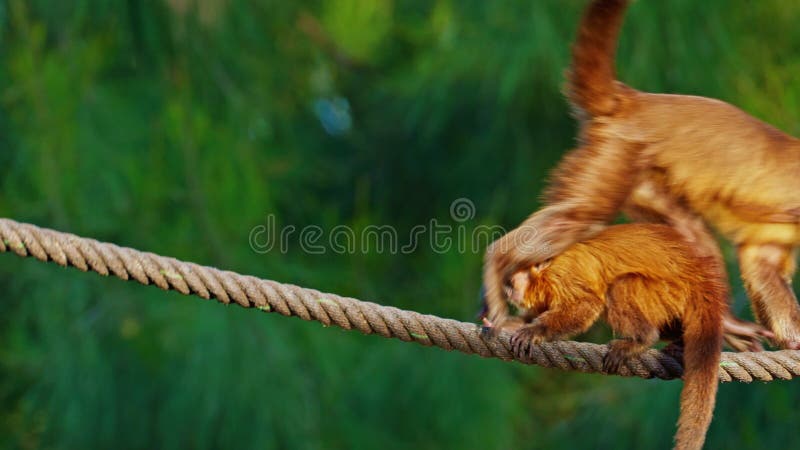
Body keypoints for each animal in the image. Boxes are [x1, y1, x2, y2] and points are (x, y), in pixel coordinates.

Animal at [483, 0, 800, 349]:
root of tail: (634, 100)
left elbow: (761, 262)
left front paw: (795, 343)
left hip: (639, 170)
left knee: (689, 235)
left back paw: (725, 321)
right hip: (615, 153)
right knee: (586, 216)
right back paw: (498, 259)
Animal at [484, 223, 725, 450]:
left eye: (511, 283)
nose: (508, 292)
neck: (545, 271)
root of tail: (700, 272)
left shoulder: (563, 272)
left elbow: (587, 303)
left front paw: (535, 331)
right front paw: (504, 325)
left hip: (667, 290)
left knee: (618, 287)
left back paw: (640, 340)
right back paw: (679, 343)